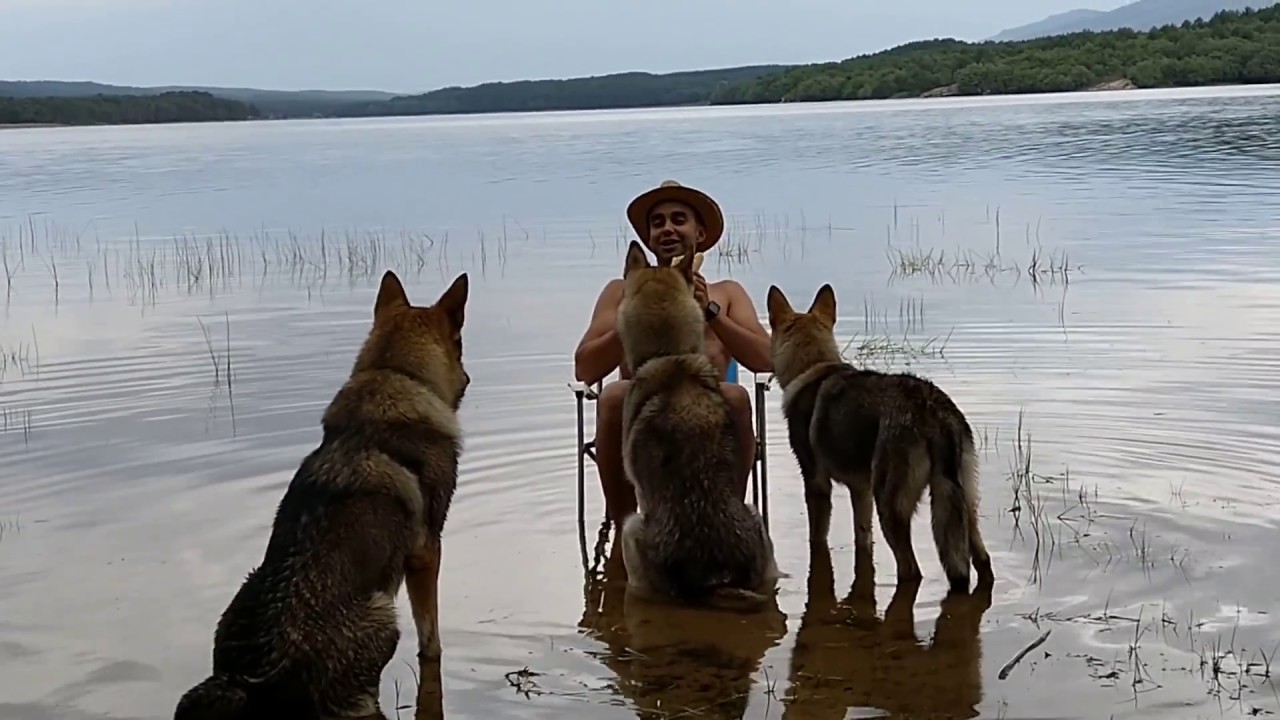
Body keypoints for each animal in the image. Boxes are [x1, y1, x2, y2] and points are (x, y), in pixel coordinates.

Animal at [174, 269, 471, 720]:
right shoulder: (425, 551)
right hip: (384, 617)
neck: (394, 373)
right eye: (460, 345)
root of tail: (254, 682)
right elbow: (431, 638)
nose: (469, 379)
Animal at [765, 282, 994, 594]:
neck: (813, 366)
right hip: (964, 505)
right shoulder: (860, 490)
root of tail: (934, 410)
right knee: (983, 561)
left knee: (912, 570)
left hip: (891, 507)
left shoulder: (817, 484)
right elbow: (863, 539)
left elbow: (817, 539)